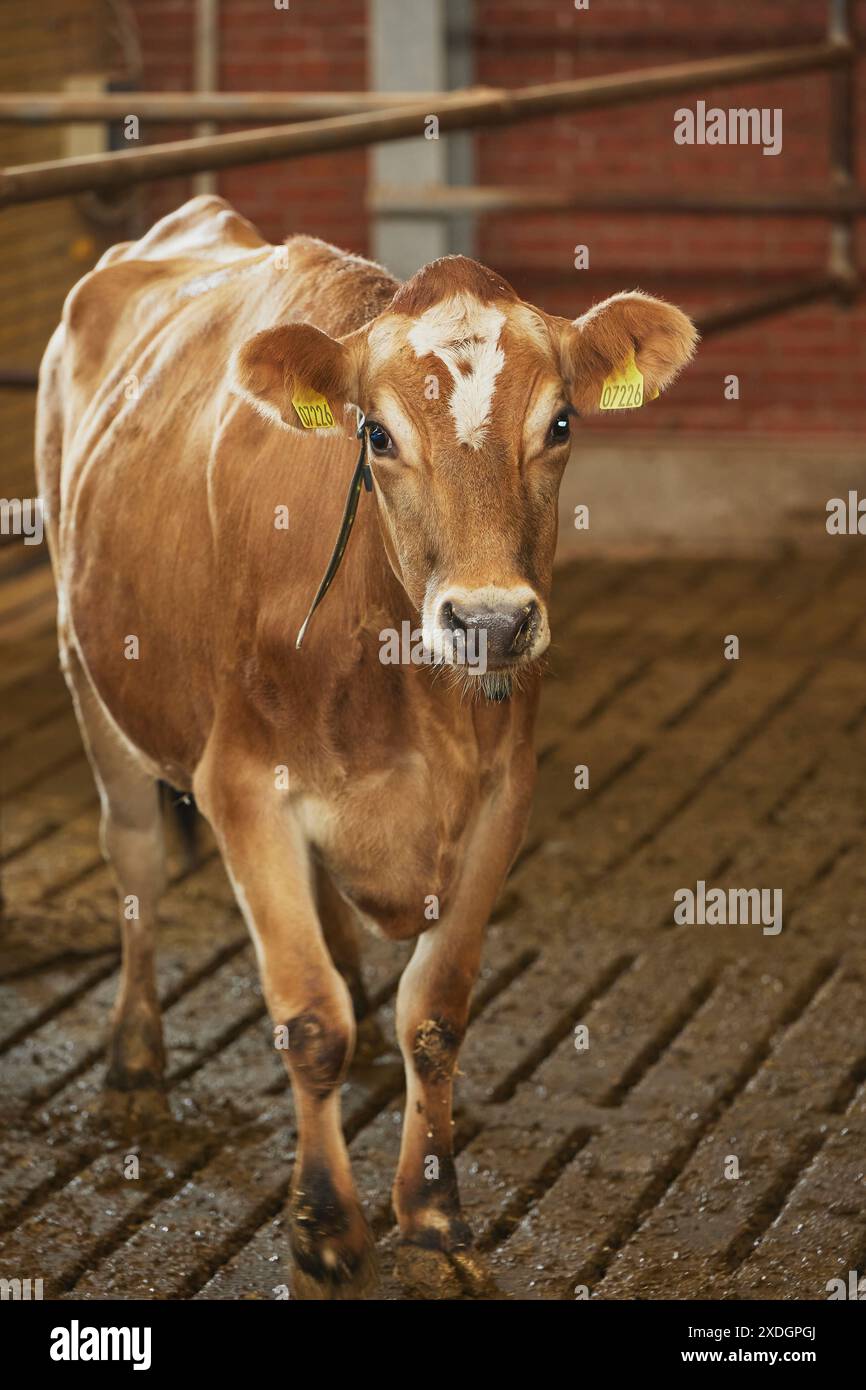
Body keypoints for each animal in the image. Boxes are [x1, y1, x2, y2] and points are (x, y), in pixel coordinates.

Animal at [36, 195, 696, 1298]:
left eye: (559, 423)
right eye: (376, 433)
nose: (490, 621)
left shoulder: (502, 793)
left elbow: (435, 1013)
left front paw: (431, 1219)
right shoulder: (241, 786)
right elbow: (310, 1020)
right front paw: (323, 1230)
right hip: (92, 673)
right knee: (135, 859)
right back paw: (133, 1064)